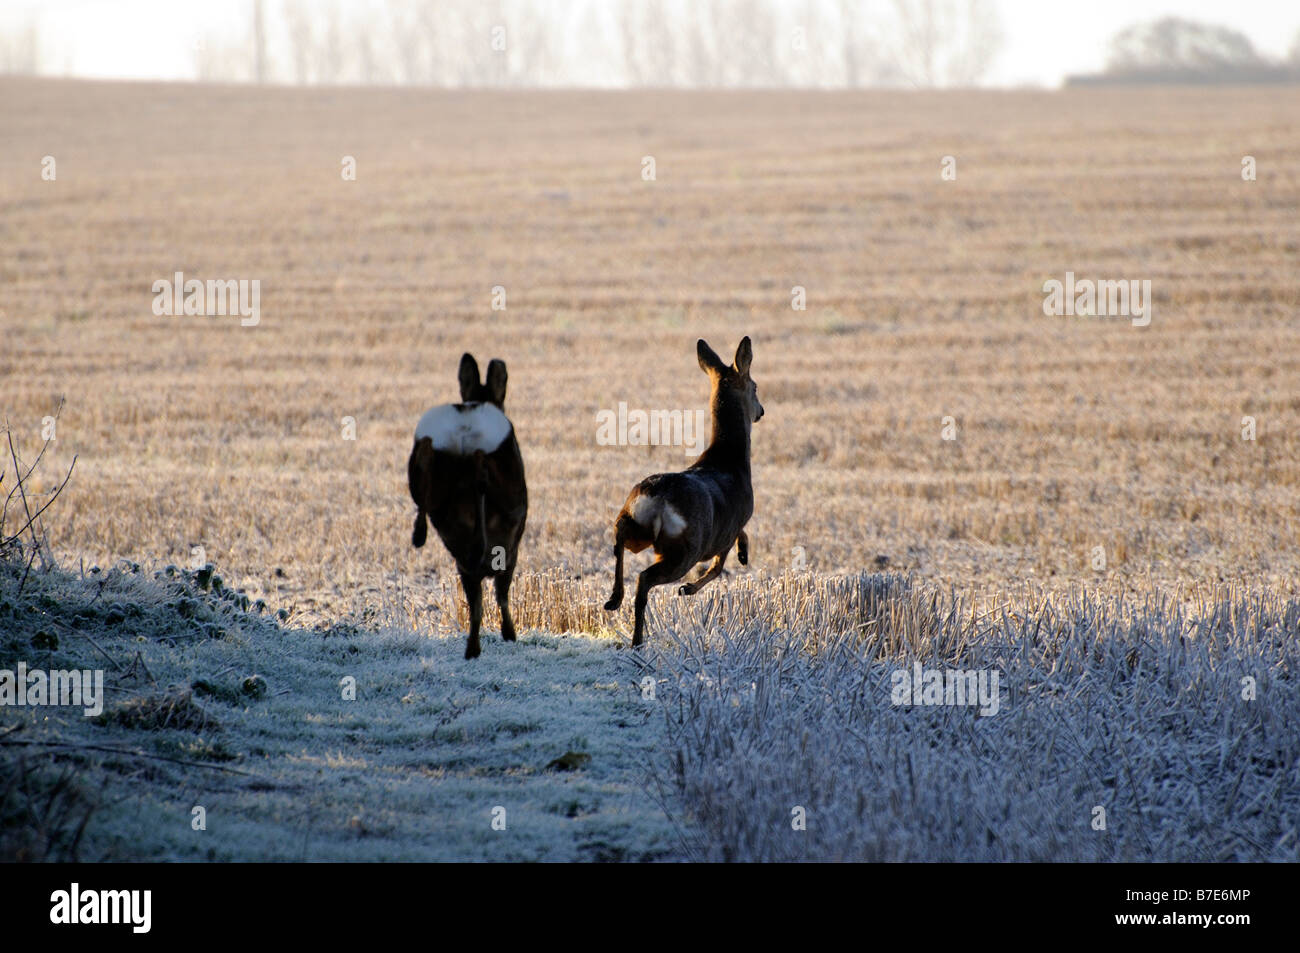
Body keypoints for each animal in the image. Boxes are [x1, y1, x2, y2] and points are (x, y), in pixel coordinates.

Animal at [408, 354, 528, 660]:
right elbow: (498, 595)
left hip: (439, 488)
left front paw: (476, 645)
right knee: (482, 471)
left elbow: (477, 604)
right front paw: (508, 634)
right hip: (507, 481)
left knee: (426, 482)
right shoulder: (509, 554)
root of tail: (466, 423)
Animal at [603, 336, 764, 647]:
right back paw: (638, 638)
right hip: (685, 547)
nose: (761, 411)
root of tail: (657, 501)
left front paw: (743, 554)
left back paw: (614, 600)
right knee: (644, 578)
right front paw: (689, 588)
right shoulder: (731, 526)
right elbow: (717, 568)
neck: (730, 459)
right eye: (755, 387)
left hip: (636, 525)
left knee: (618, 540)